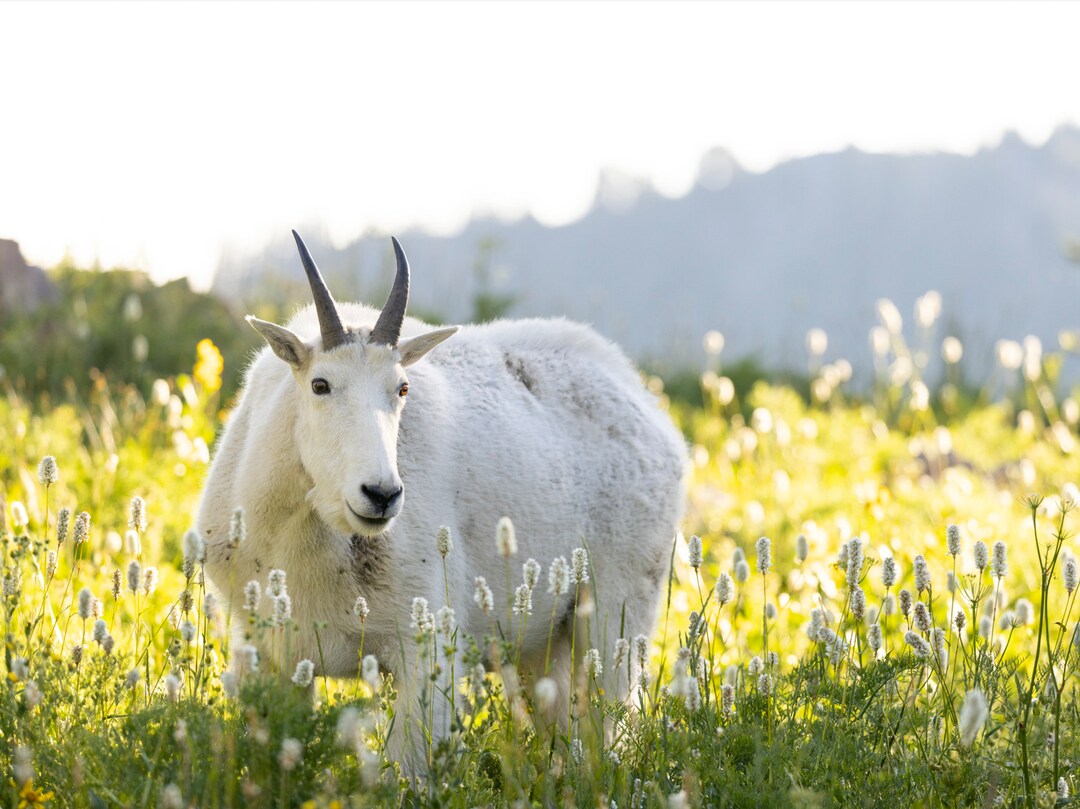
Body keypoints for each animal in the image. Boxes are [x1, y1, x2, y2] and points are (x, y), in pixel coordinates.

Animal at [198, 231, 687, 769]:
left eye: (402, 387)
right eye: (319, 384)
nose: (381, 494)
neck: (300, 530)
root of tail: (648, 407)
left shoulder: (424, 640)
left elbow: (406, 768)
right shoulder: (266, 649)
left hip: (616, 609)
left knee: (611, 717)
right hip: (546, 639)